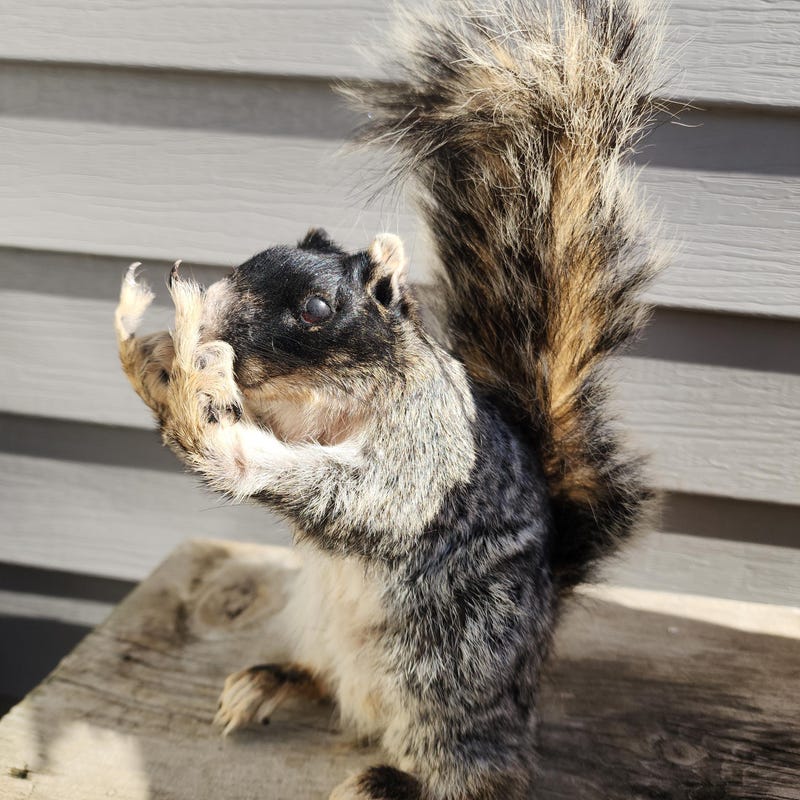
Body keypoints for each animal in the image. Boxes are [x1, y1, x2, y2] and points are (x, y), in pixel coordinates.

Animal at [114, 0, 664, 797]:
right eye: (244, 264)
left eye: (316, 308)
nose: (208, 324)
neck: (314, 399)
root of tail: (541, 632)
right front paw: (165, 362)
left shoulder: (425, 444)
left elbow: (374, 493)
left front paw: (230, 450)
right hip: (323, 623)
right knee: (333, 683)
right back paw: (273, 680)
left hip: (449, 664)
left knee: (485, 767)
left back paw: (392, 780)